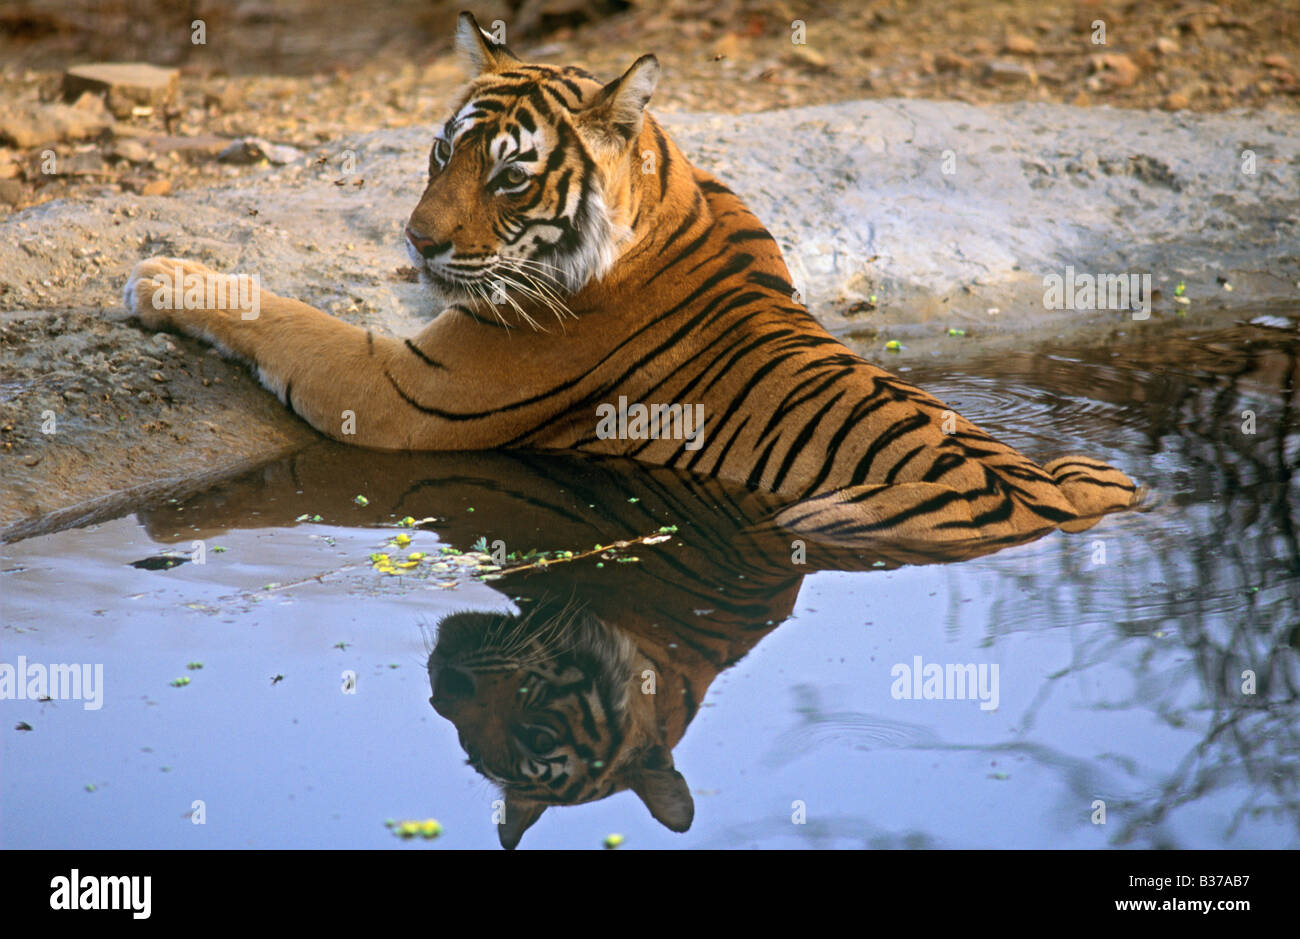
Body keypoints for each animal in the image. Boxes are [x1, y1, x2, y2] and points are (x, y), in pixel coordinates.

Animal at [123, 11, 1140, 547]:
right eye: (442, 154)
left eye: (509, 177)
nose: (416, 242)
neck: (664, 197)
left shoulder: (399, 393)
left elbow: (289, 316)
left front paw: (162, 276)